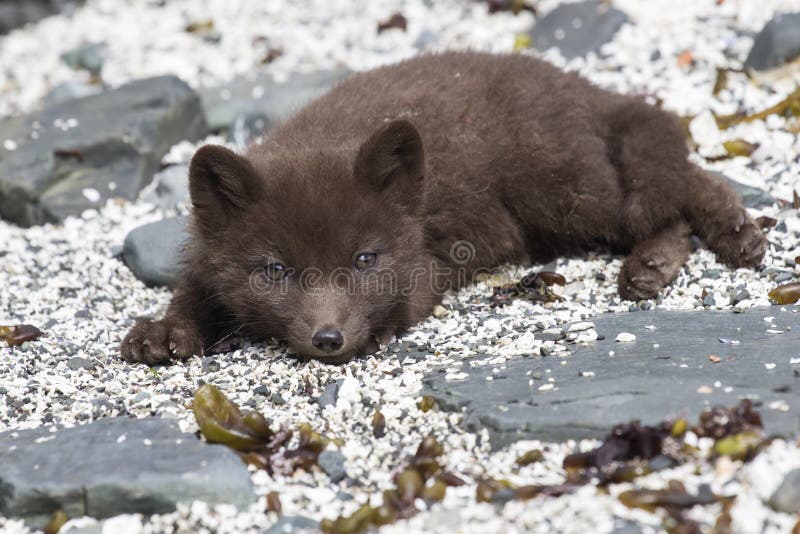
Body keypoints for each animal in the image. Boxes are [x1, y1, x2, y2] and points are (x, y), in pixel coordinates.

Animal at [121, 51, 767, 365]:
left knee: (682, 180)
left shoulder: (432, 258)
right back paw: (655, 267)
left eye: (365, 259)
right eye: (274, 270)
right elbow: (193, 292)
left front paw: (378, 331)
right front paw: (163, 331)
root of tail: (587, 89)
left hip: (567, 194)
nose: (329, 338)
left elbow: (411, 298)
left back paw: (732, 235)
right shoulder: (208, 257)